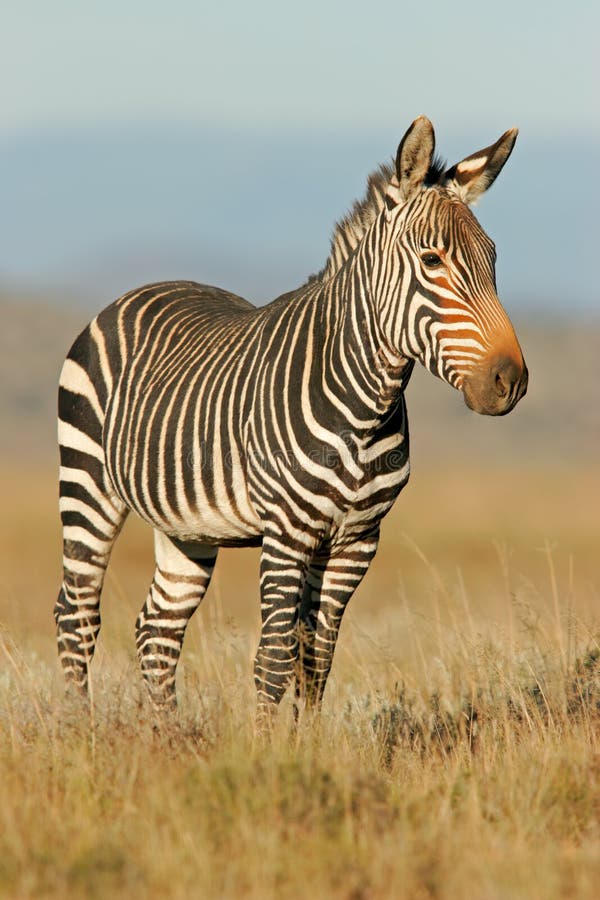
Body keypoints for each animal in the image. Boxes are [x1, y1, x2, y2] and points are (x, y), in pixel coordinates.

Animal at [55, 116, 528, 725]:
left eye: (492, 260)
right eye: (432, 261)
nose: (510, 381)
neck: (362, 408)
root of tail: (141, 288)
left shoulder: (356, 540)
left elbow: (316, 658)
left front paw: (307, 744)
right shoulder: (286, 533)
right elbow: (275, 657)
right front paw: (264, 747)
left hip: (186, 526)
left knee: (157, 630)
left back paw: (168, 738)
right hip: (87, 485)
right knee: (77, 616)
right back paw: (79, 731)